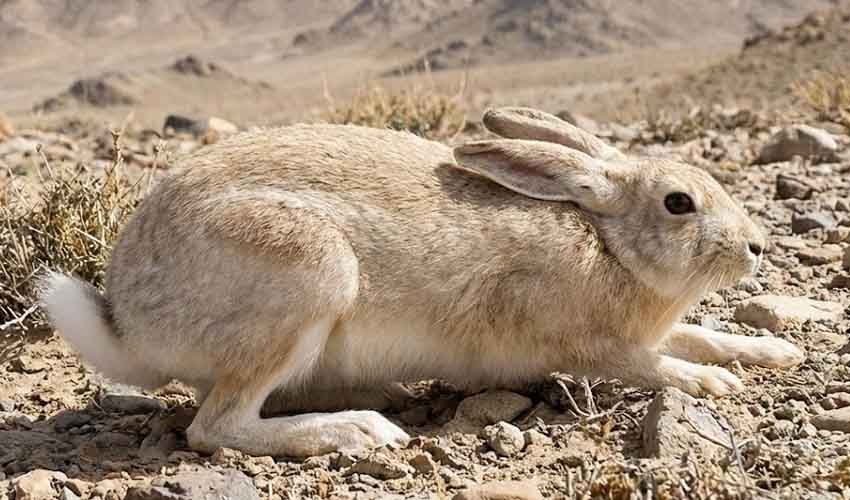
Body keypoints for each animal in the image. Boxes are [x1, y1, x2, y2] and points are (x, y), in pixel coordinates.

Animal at [39, 106, 805, 458]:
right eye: (679, 203)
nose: (757, 247)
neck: (609, 245)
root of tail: (132, 324)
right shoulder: (588, 343)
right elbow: (655, 364)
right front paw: (714, 384)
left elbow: (702, 334)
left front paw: (775, 352)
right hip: (310, 276)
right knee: (215, 426)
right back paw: (358, 428)